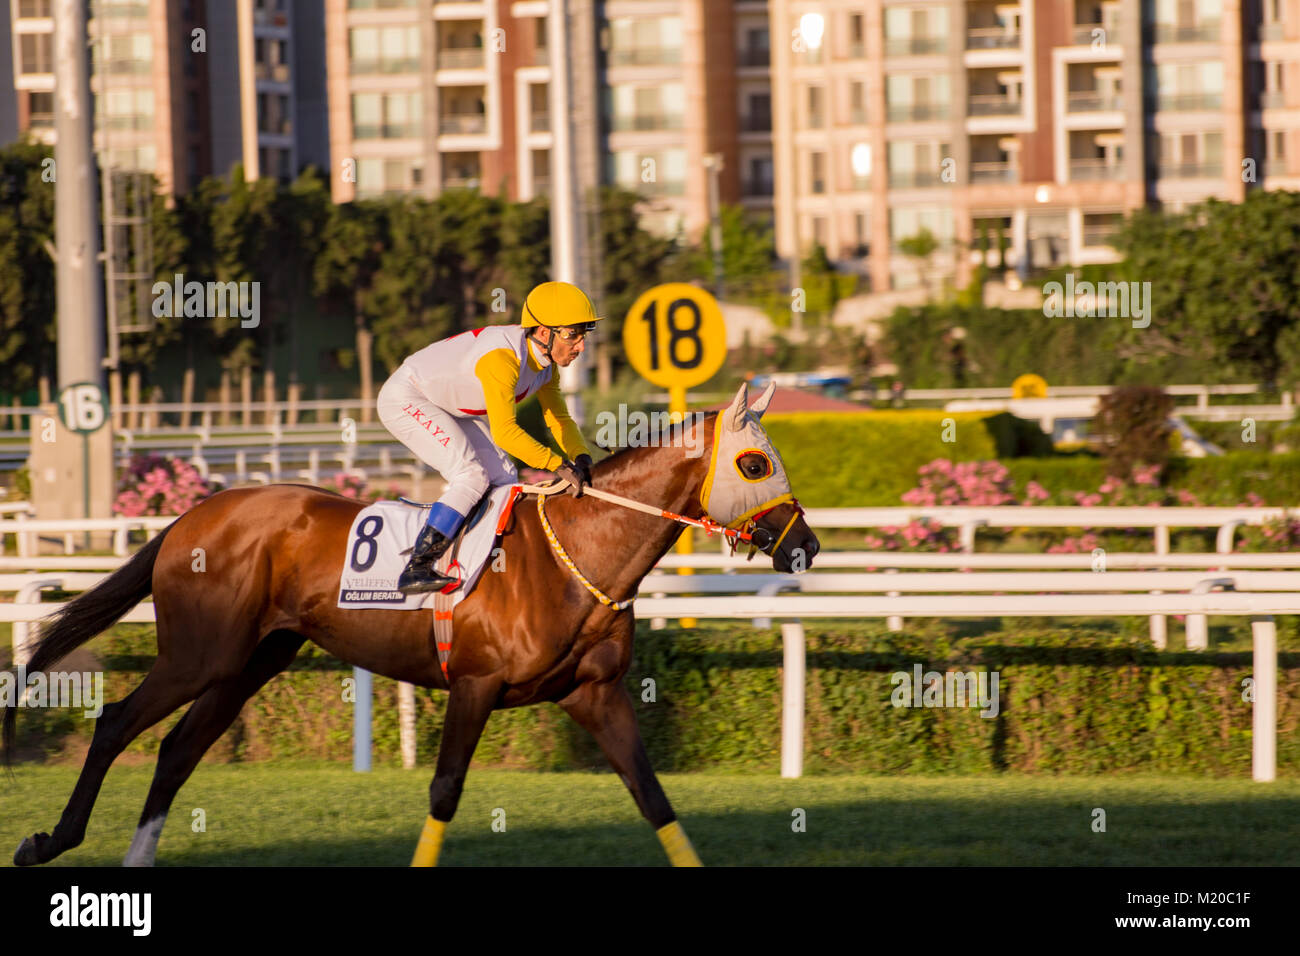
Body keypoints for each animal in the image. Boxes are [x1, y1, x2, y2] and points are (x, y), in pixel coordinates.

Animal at [6, 381, 819, 866]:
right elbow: (445, 793)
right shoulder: (476, 685)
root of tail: (189, 514)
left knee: (177, 751)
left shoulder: (595, 695)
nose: (805, 546)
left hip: (251, 661)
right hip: (200, 654)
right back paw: (50, 841)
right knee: (117, 723)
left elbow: (653, 797)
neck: (575, 555)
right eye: (754, 464)